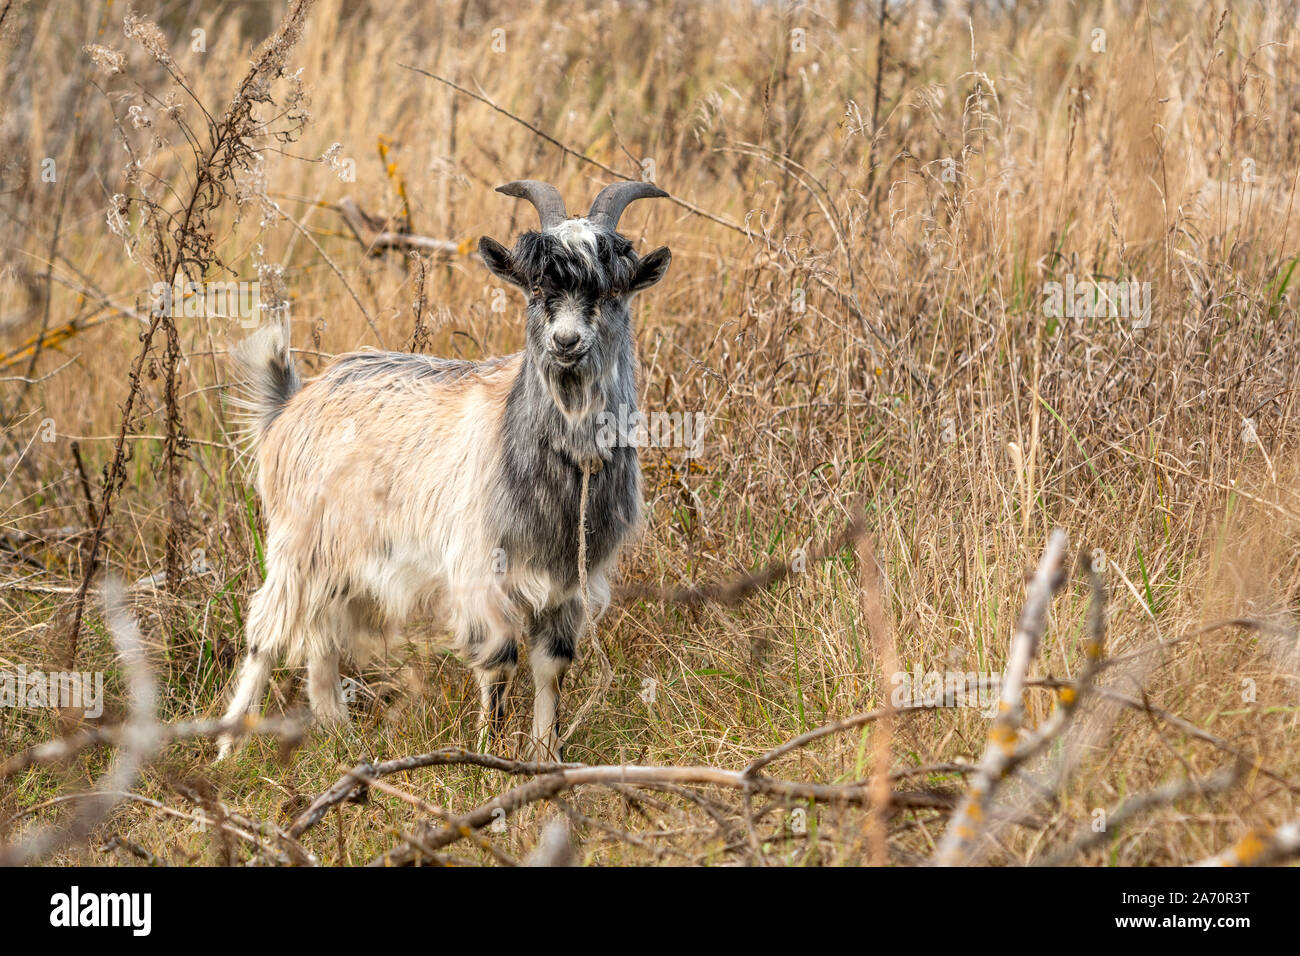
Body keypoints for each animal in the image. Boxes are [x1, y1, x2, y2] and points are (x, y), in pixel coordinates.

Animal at [217, 180, 671, 760]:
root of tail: (290, 407)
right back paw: (228, 748)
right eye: (535, 289)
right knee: (266, 633)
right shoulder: (479, 573)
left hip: (346, 562)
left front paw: (545, 756)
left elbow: (552, 667)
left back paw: (341, 737)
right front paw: (487, 756)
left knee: (322, 637)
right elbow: (499, 664)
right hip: (298, 547)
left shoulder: (570, 583)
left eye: (613, 292)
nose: (566, 342)